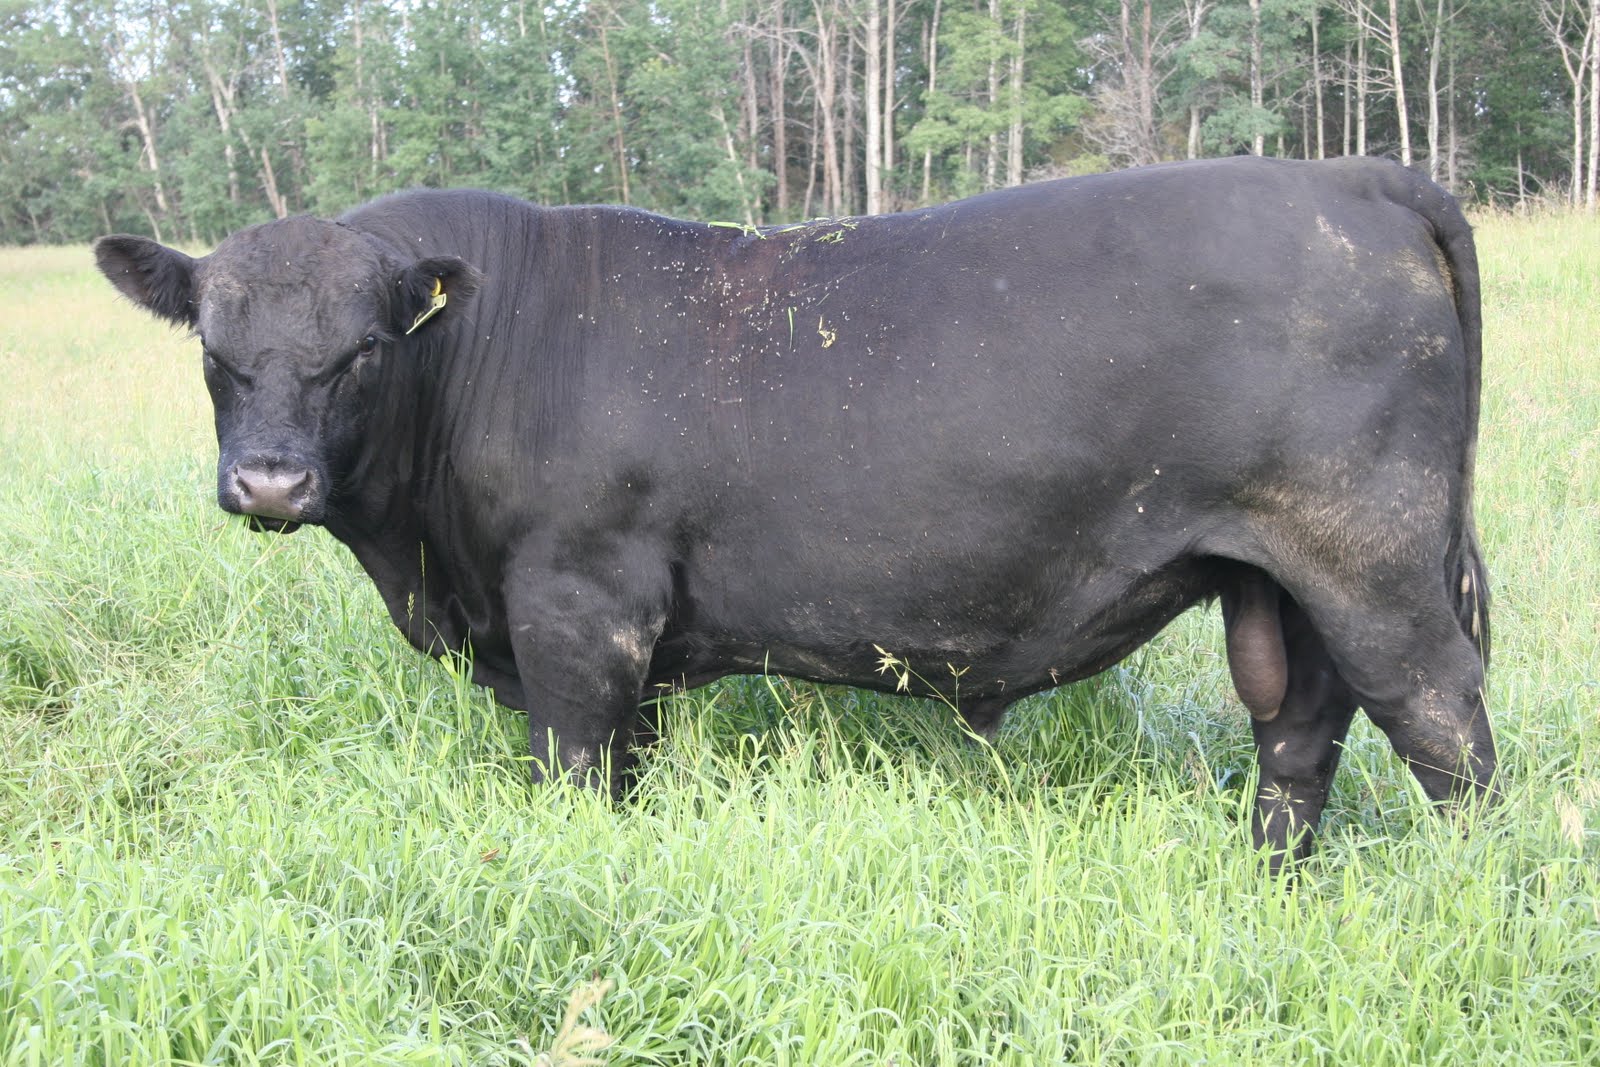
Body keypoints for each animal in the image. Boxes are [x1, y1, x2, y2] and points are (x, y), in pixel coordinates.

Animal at [95, 155, 1496, 866]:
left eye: (362, 352)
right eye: (215, 350)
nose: (269, 481)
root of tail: (1360, 173)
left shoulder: (577, 608)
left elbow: (571, 774)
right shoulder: (627, 645)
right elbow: (626, 773)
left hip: (1373, 562)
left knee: (1448, 736)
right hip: (1285, 574)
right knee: (1299, 734)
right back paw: (1263, 883)